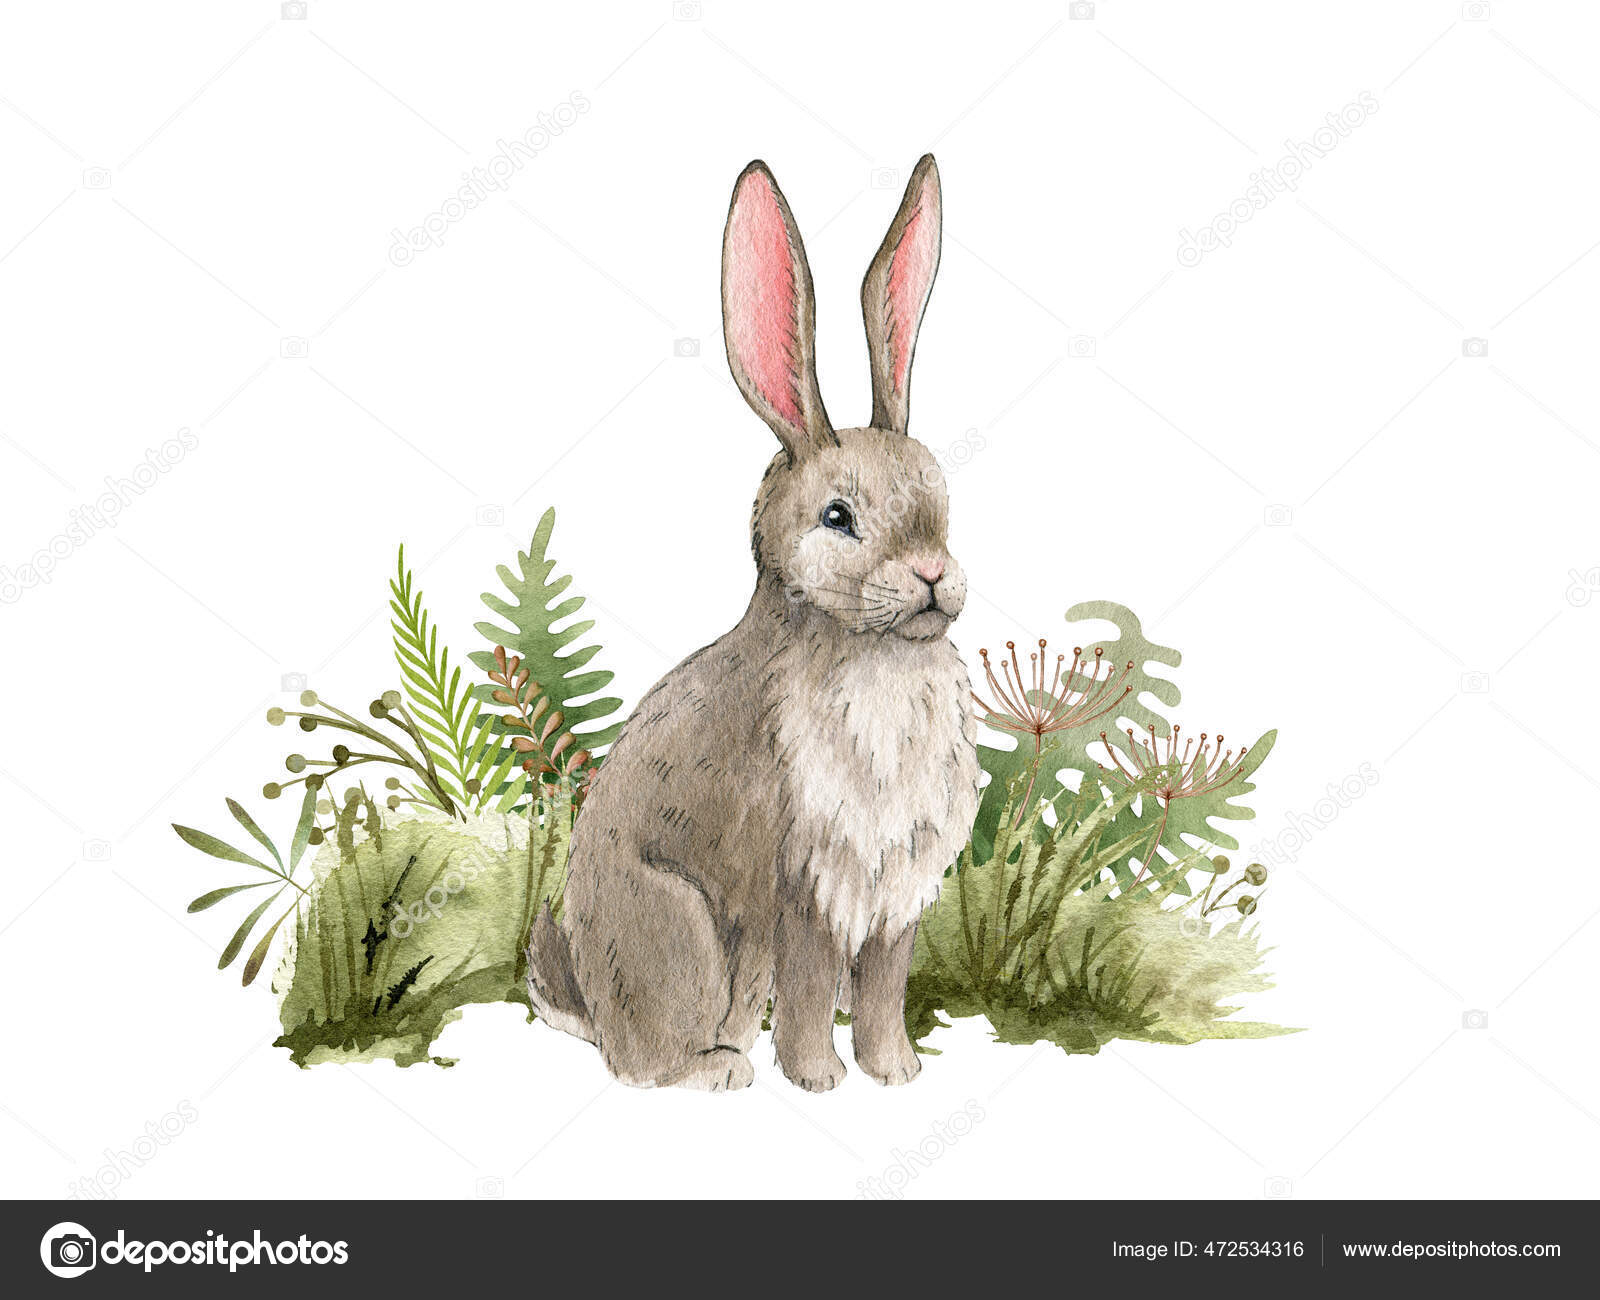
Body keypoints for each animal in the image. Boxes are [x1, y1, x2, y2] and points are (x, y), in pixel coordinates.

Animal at [526, 155, 979, 1092]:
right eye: (839, 517)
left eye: (940, 497)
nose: (933, 577)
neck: (870, 650)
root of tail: (586, 1000)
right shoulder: (802, 883)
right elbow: (810, 987)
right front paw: (819, 1080)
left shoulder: (893, 898)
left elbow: (883, 988)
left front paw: (897, 1073)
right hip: (681, 931)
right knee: (641, 1063)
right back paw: (721, 1071)